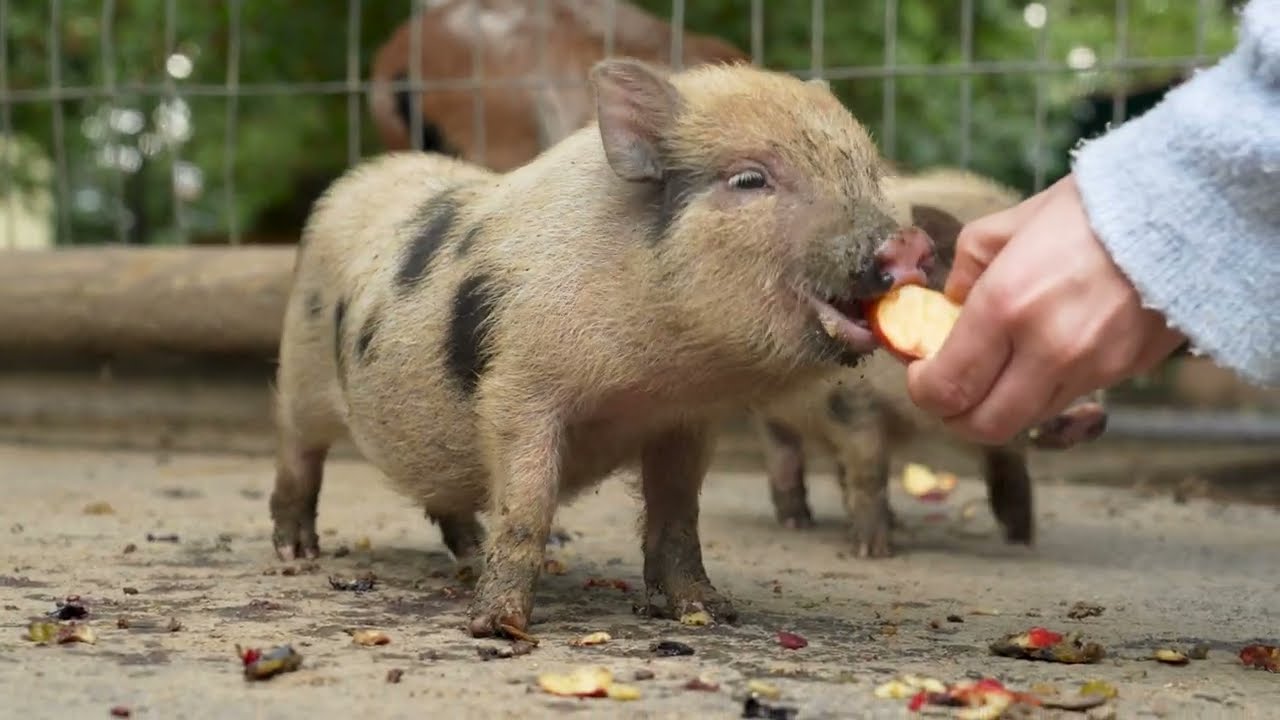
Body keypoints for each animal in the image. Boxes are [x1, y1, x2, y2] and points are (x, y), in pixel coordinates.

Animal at [269, 58, 936, 638]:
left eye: (867, 173)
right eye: (750, 179)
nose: (908, 244)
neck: (652, 378)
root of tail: (351, 182)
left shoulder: (686, 421)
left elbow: (677, 515)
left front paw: (709, 612)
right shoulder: (521, 388)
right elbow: (528, 505)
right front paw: (499, 628)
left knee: (446, 497)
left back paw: (468, 553)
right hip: (301, 364)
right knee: (300, 454)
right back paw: (297, 554)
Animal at [751, 168, 1108, 558]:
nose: (1089, 415)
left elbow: (1009, 468)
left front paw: (1023, 542)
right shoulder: (851, 400)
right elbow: (869, 467)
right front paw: (874, 552)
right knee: (782, 451)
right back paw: (798, 522)